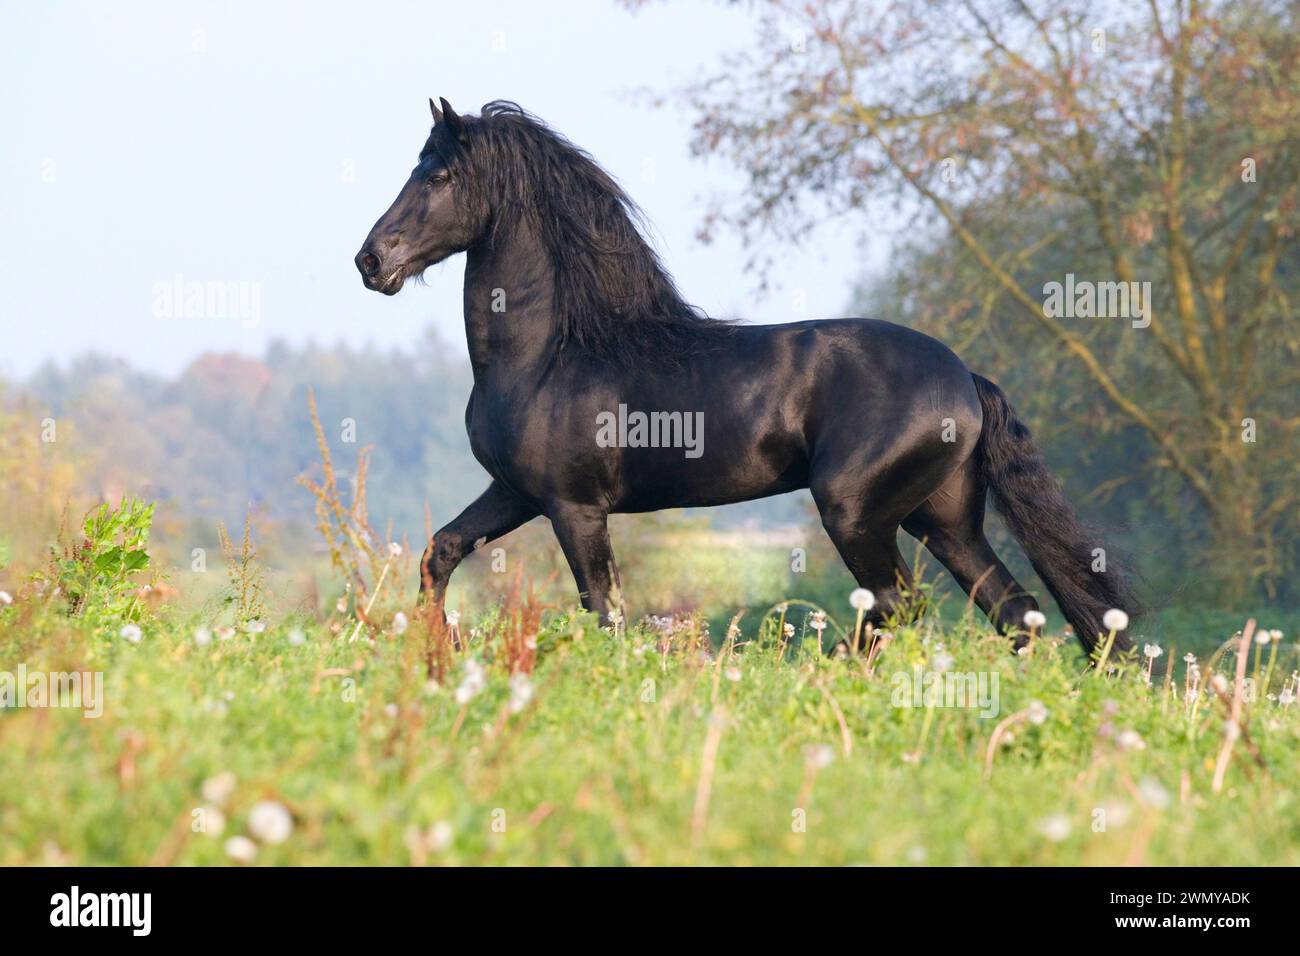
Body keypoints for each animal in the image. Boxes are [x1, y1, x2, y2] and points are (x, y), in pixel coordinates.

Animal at [355, 98, 1137, 653]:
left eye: (440, 175)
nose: (371, 261)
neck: (551, 353)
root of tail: (966, 376)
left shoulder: (573, 508)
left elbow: (604, 612)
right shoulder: (516, 492)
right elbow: (440, 552)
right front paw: (438, 649)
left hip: (856, 512)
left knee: (898, 608)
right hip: (943, 519)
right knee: (1014, 614)